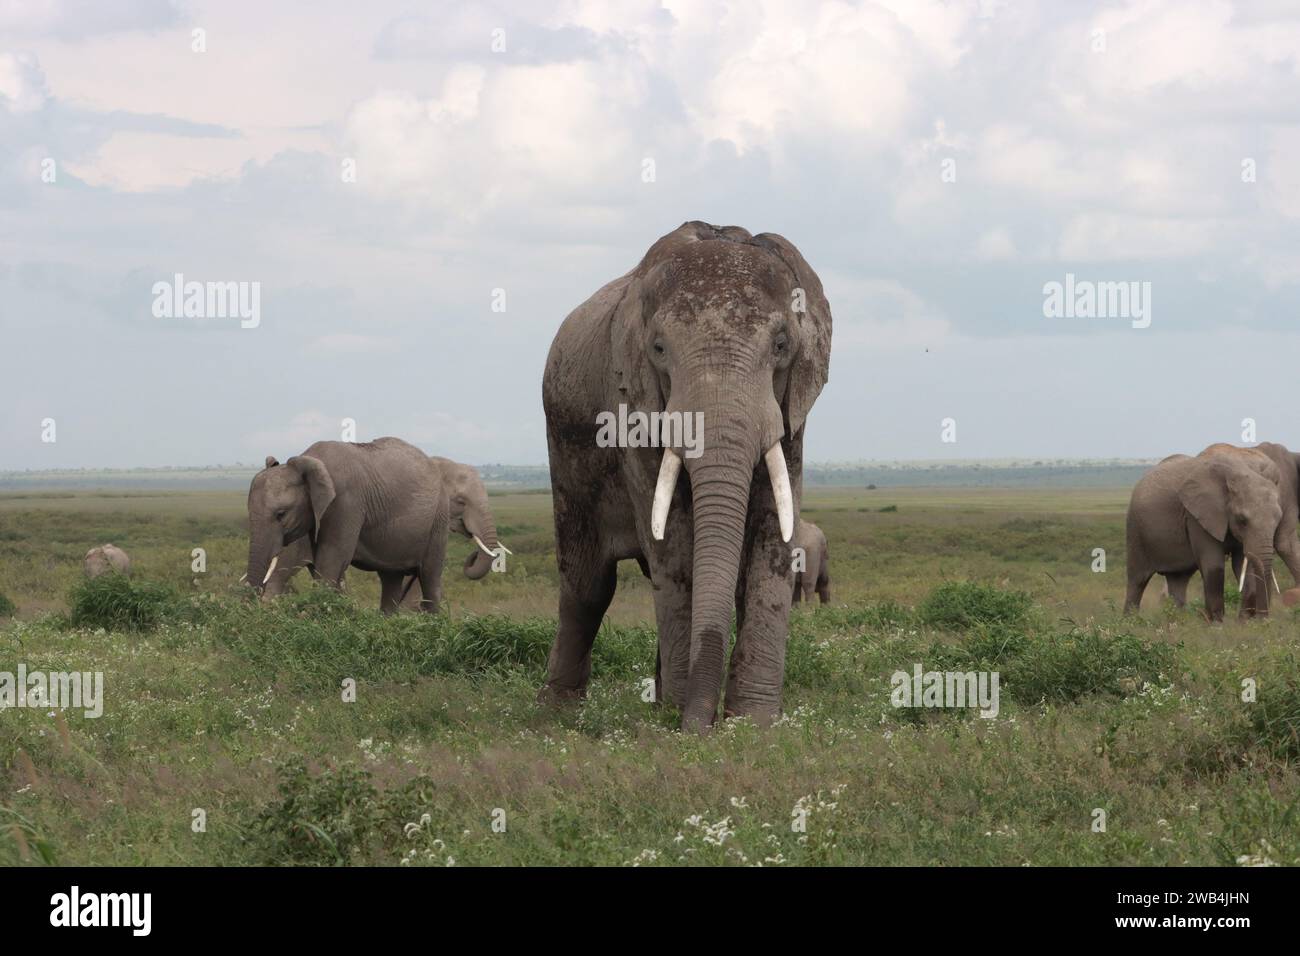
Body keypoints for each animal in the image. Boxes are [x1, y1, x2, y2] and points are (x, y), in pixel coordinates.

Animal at [245, 438, 505, 614]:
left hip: (435, 520)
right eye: (462, 502)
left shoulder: (346, 504)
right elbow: (328, 563)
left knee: (428, 576)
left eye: (281, 514)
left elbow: (331, 559)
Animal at [540, 221, 832, 730]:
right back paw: (559, 709)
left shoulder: (790, 415)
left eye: (781, 346)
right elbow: (672, 544)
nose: (700, 728)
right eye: (658, 349)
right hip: (564, 443)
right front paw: (685, 714)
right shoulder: (632, 407)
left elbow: (773, 534)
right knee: (587, 585)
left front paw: (753, 723)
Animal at [1125, 452, 1282, 620]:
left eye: (1278, 519)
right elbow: (1214, 566)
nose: (1263, 620)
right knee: (1138, 580)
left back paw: (1180, 620)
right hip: (1135, 530)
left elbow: (1241, 564)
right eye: (1242, 520)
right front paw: (1217, 623)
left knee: (1179, 579)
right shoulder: (1196, 515)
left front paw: (1244, 622)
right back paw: (1130, 620)